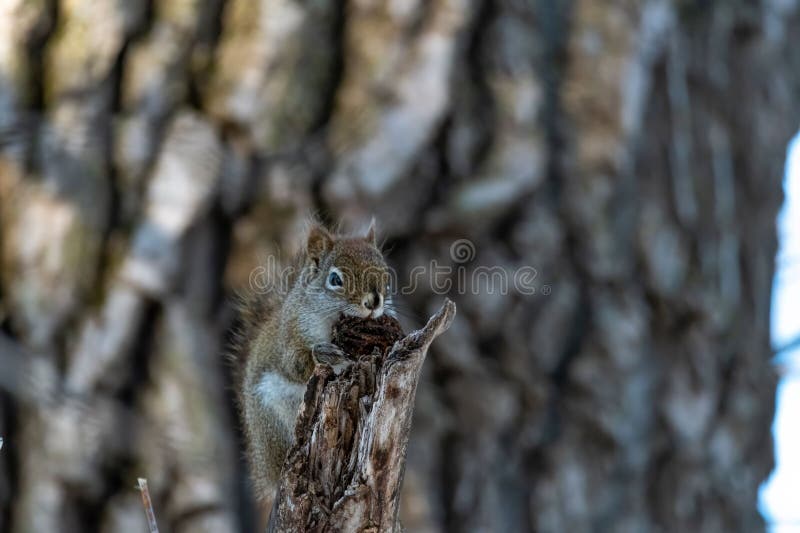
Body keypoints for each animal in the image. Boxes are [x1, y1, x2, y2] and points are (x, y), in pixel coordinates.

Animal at [233, 220, 392, 504]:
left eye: (386, 275)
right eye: (335, 279)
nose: (373, 301)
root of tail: (264, 470)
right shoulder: (290, 336)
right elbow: (294, 364)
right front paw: (326, 355)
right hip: (274, 422)